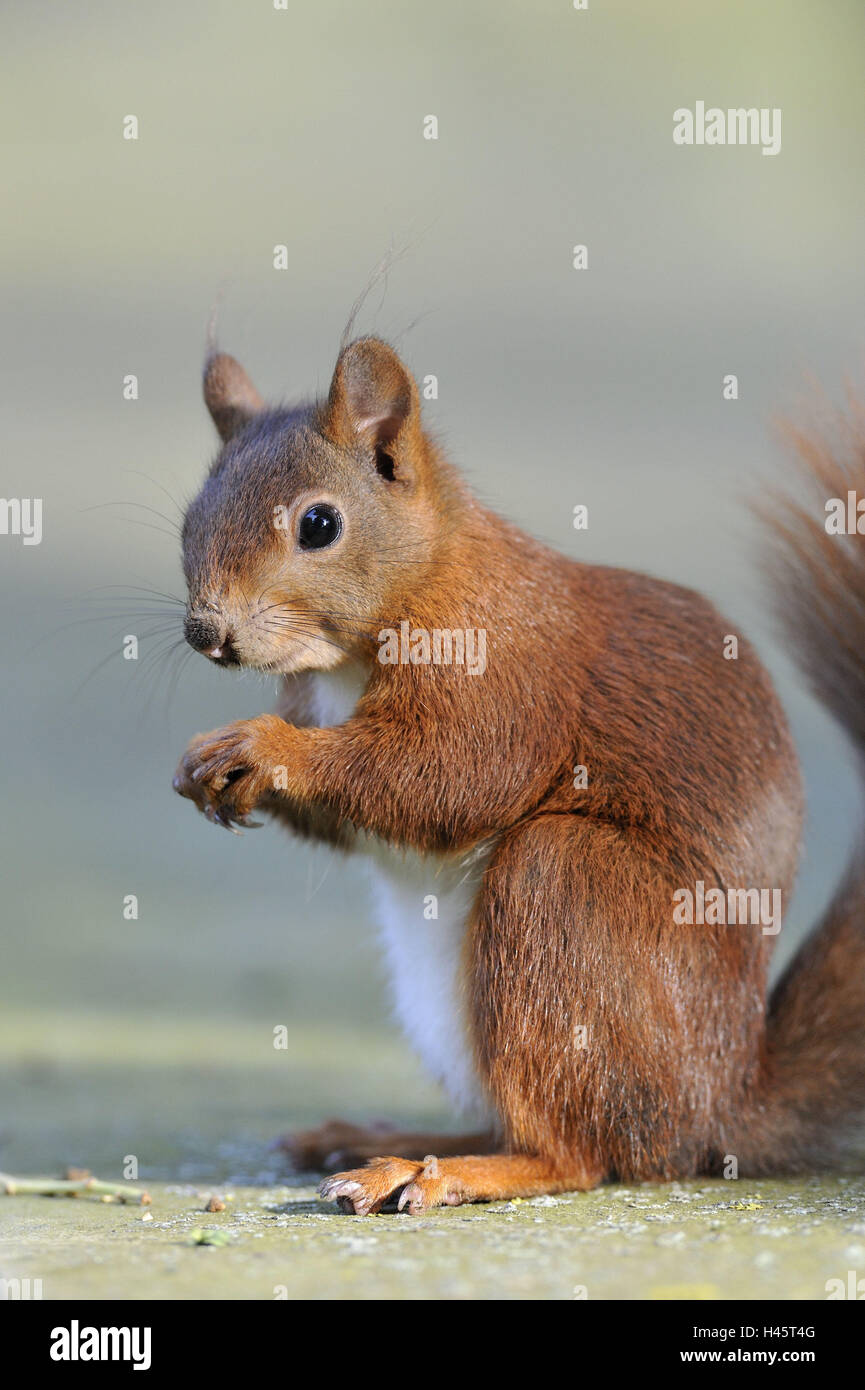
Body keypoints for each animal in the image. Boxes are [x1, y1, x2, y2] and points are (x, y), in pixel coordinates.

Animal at [173, 331, 865, 1215]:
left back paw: (442, 1173)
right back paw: (388, 1142)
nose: (206, 634)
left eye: (318, 524)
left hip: (564, 891)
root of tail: (718, 1106)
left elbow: (452, 775)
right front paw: (204, 762)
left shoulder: (501, 669)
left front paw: (265, 747)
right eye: (191, 518)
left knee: (576, 1153)